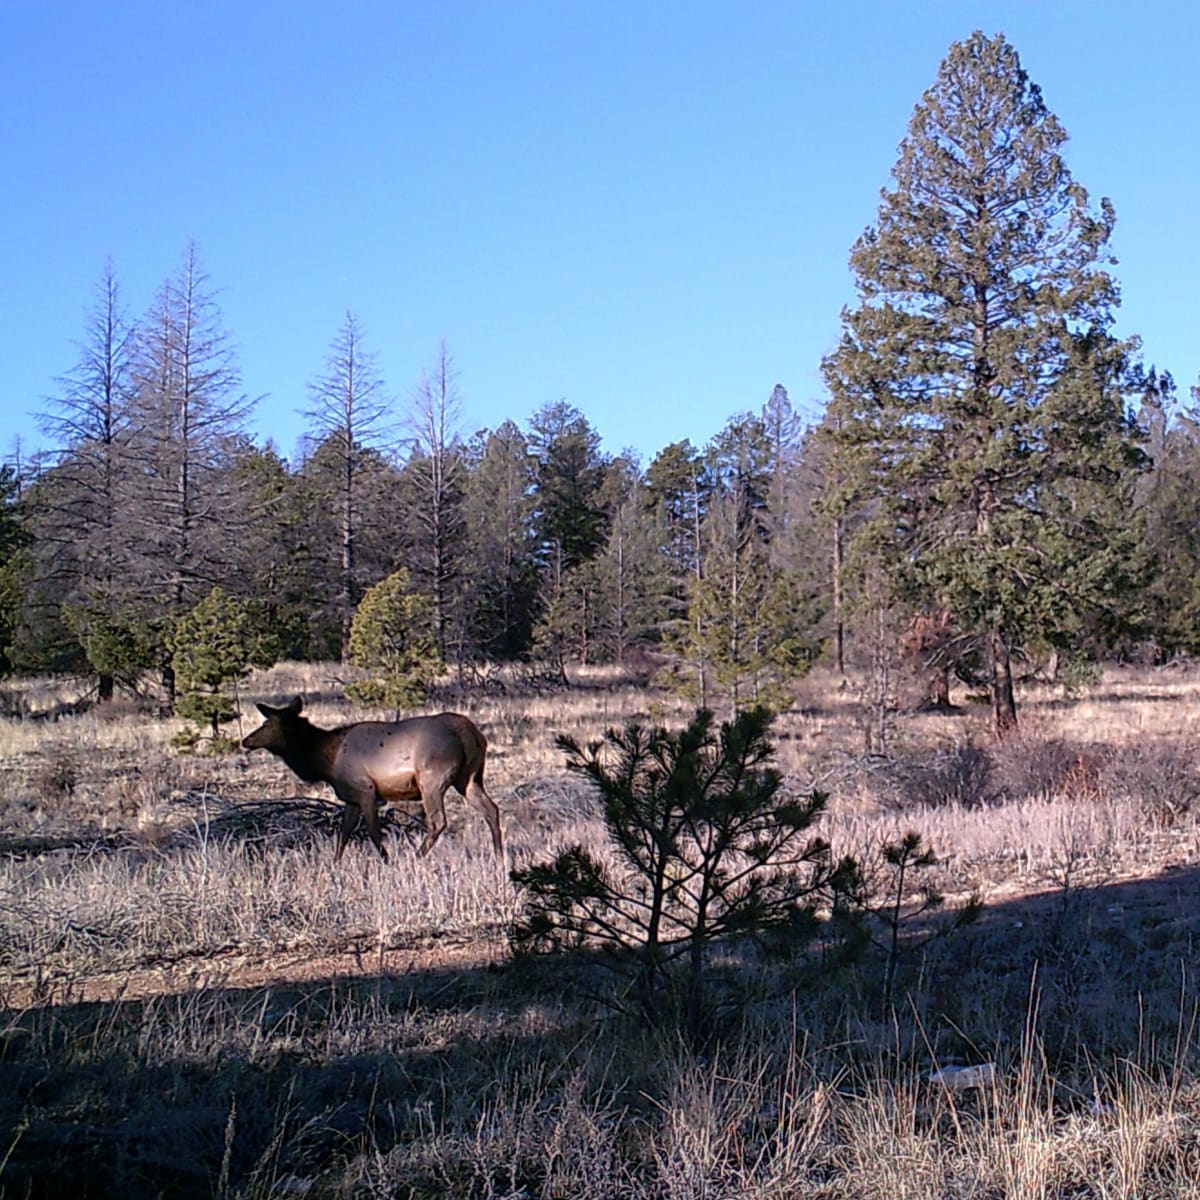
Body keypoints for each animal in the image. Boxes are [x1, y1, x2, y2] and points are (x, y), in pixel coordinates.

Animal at [242, 696, 503, 862]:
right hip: (469, 778)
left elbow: (373, 830)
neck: (325, 761)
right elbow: (344, 832)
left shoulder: (366, 789)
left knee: (438, 821)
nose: (245, 740)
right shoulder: (351, 797)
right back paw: (499, 857)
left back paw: (416, 858)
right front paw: (335, 865)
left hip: (432, 779)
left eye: (266, 722)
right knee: (491, 809)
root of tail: (472, 734)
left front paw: (387, 861)